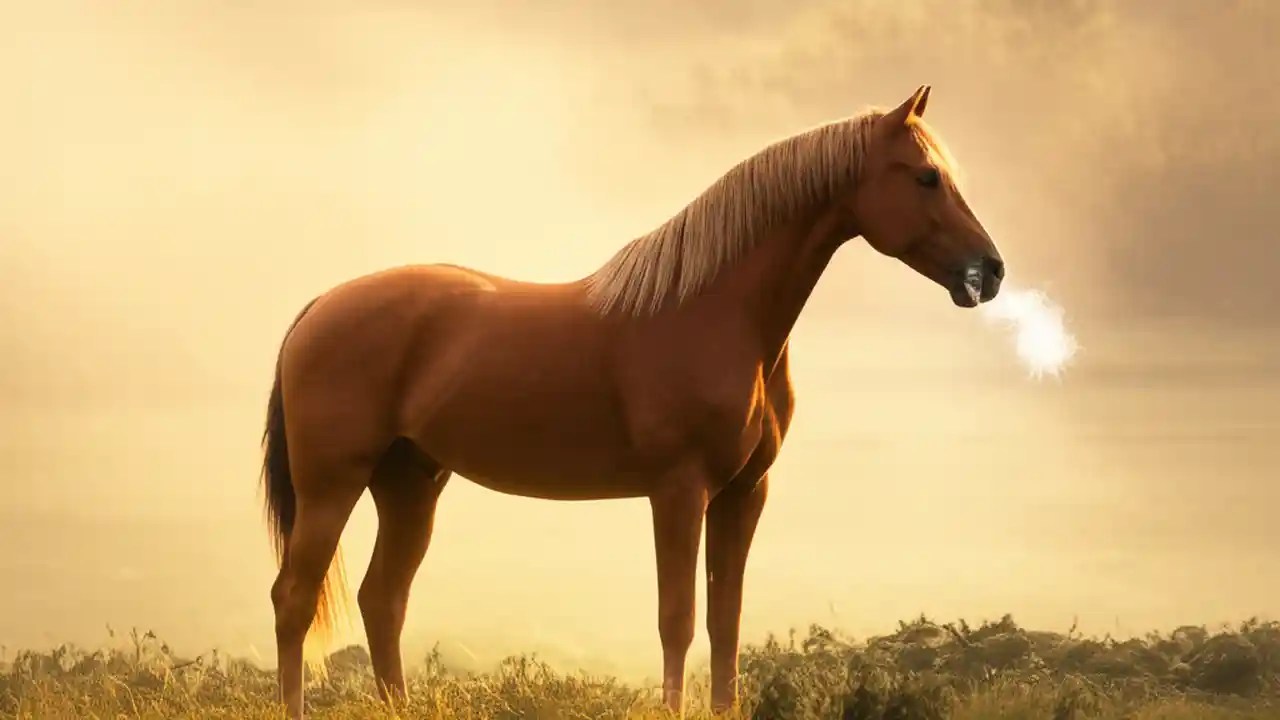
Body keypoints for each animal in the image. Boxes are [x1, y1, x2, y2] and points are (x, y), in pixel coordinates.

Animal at [259, 85, 1004, 718]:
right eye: (925, 176)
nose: (990, 272)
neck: (715, 311)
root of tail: (319, 307)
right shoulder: (678, 490)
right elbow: (677, 619)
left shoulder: (744, 493)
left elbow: (725, 619)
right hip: (333, 485)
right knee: (294, 599)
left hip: (411, 482)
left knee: (382, 600)